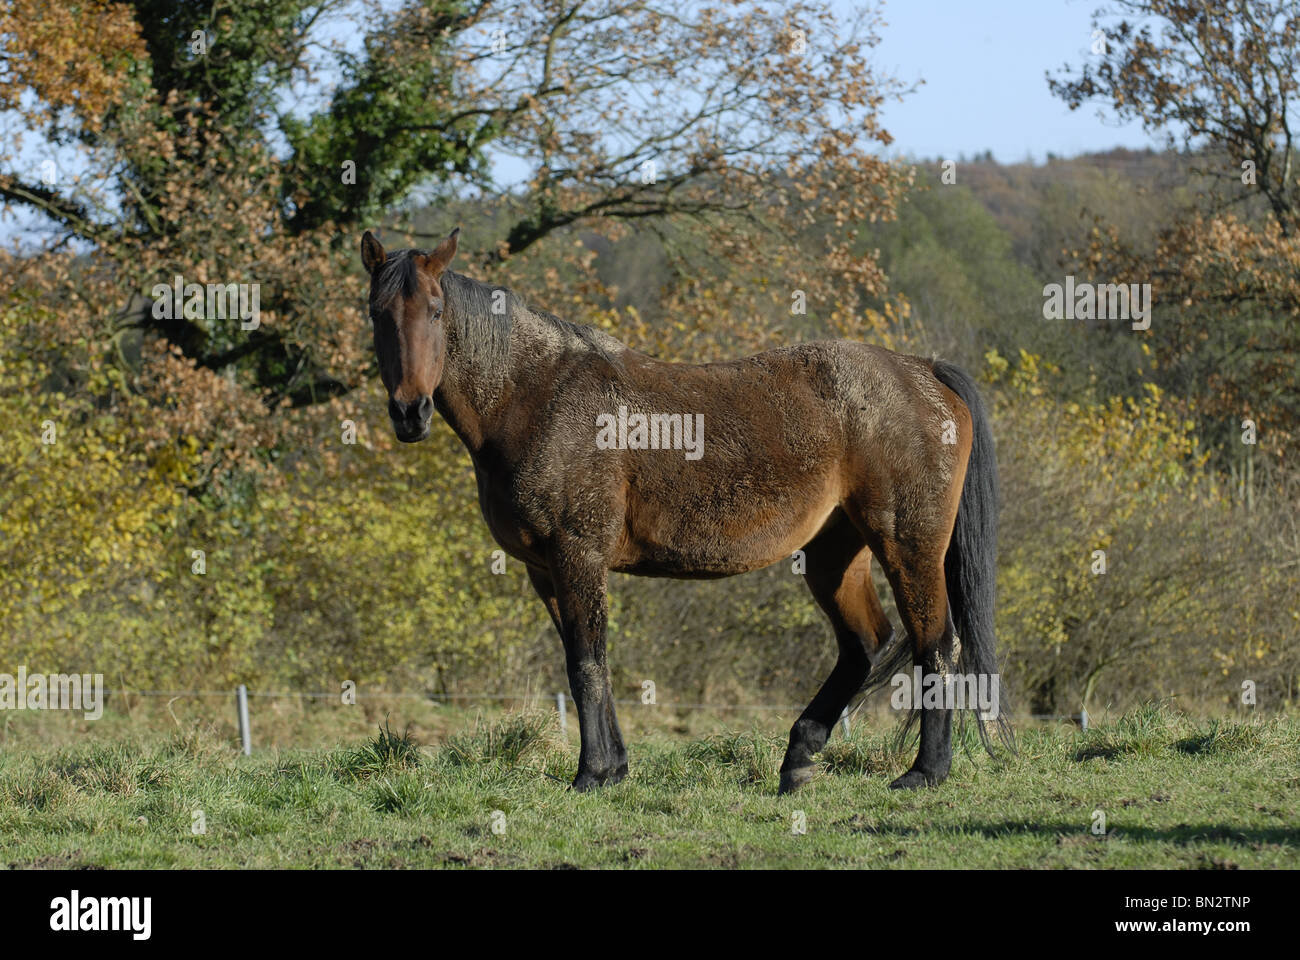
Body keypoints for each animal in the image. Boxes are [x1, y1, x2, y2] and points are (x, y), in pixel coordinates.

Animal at [359, 227, 1013, 794]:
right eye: (376, 313)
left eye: (436, 310)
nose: (409, 412)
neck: (536, 393)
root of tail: (922, 369)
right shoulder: (544, 569)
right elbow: (583, 661)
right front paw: (615, 767)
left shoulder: (577, 555)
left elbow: (587, 662)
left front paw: (593, 773)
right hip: (834, 552)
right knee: (866, 644)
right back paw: (799, 757)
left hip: (908, 544)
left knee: (935, 642)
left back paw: (925, 771)